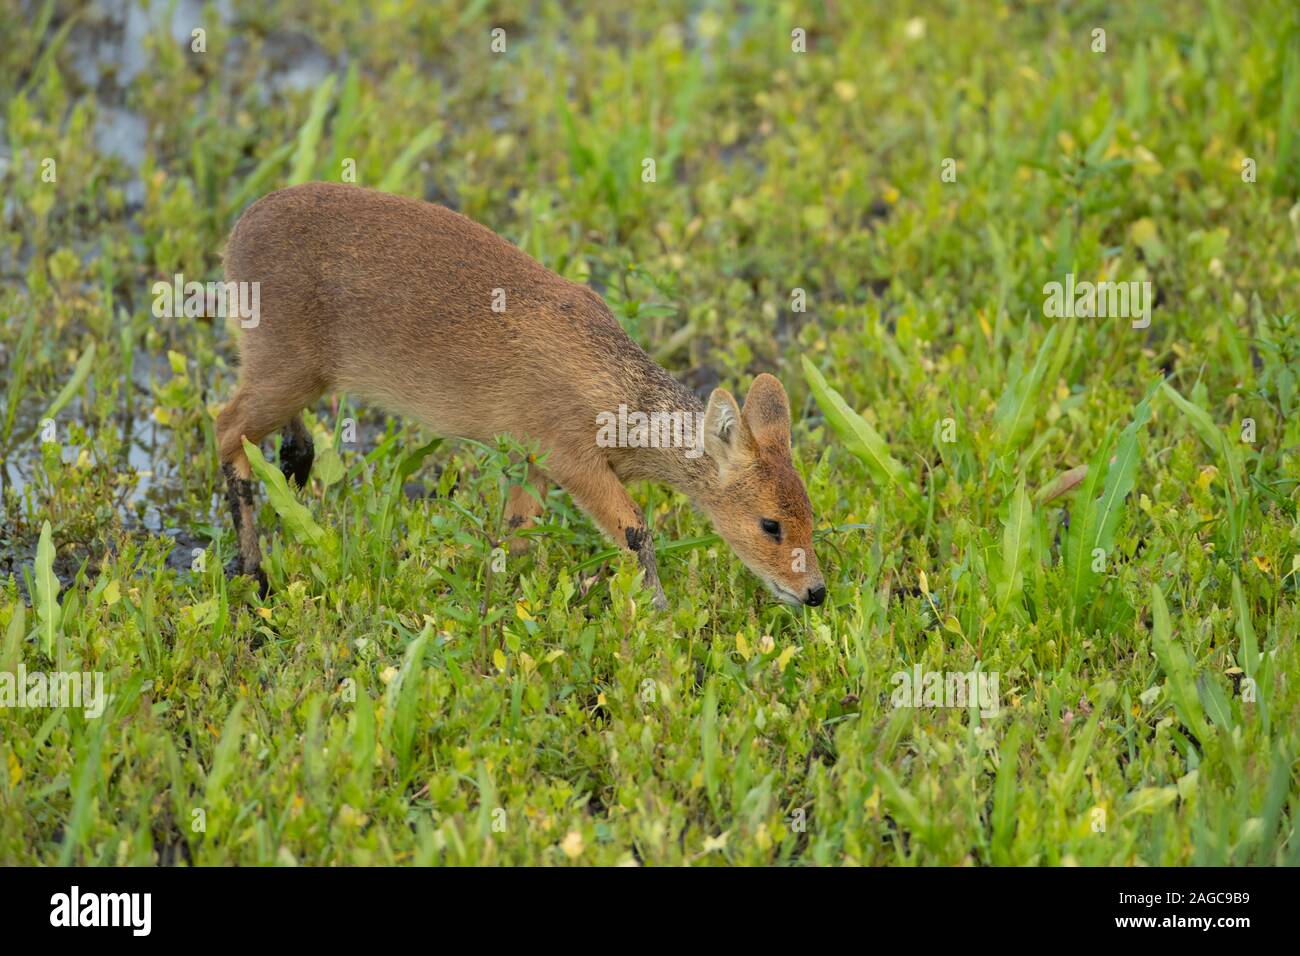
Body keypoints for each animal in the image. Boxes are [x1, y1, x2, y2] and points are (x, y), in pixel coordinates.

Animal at [216, 182, 826, 610]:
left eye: (810, 515)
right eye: (770, 524)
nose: (816, 592)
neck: (618, 397)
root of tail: (237, 231)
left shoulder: (530, 462)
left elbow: (516, 535)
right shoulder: (572, 459)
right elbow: (634, 529)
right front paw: (657, 609)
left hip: (289, 374)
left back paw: (293, 469)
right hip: (284, 369)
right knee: (225, 429)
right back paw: (253, 571)